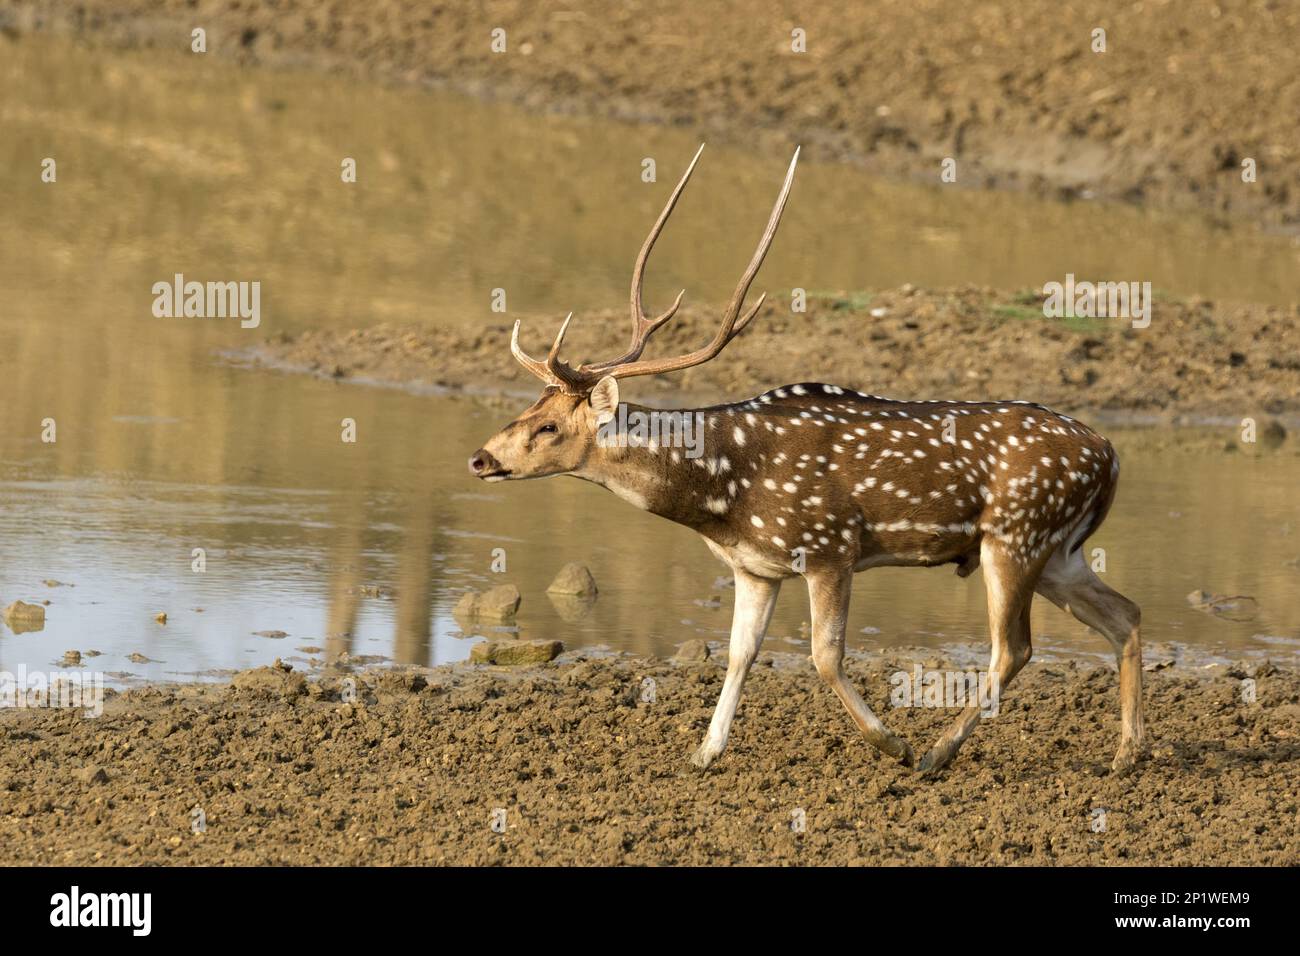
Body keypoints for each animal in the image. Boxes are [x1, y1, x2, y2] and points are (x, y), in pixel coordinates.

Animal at [469, 145, 1146, 775]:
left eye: (550, 426)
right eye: (528, 406)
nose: (479, 458)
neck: (723, 495)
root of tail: (1110, 455)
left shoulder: (829, 547)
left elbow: (824, 656)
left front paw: (892, 743)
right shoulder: (755, 567)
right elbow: (740, 653)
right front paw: (703, 754)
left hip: (1015, 534)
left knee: (1015, 647)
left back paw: (935, 753)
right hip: (1058, 549)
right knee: (1125, 615)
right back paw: (1125, 755)